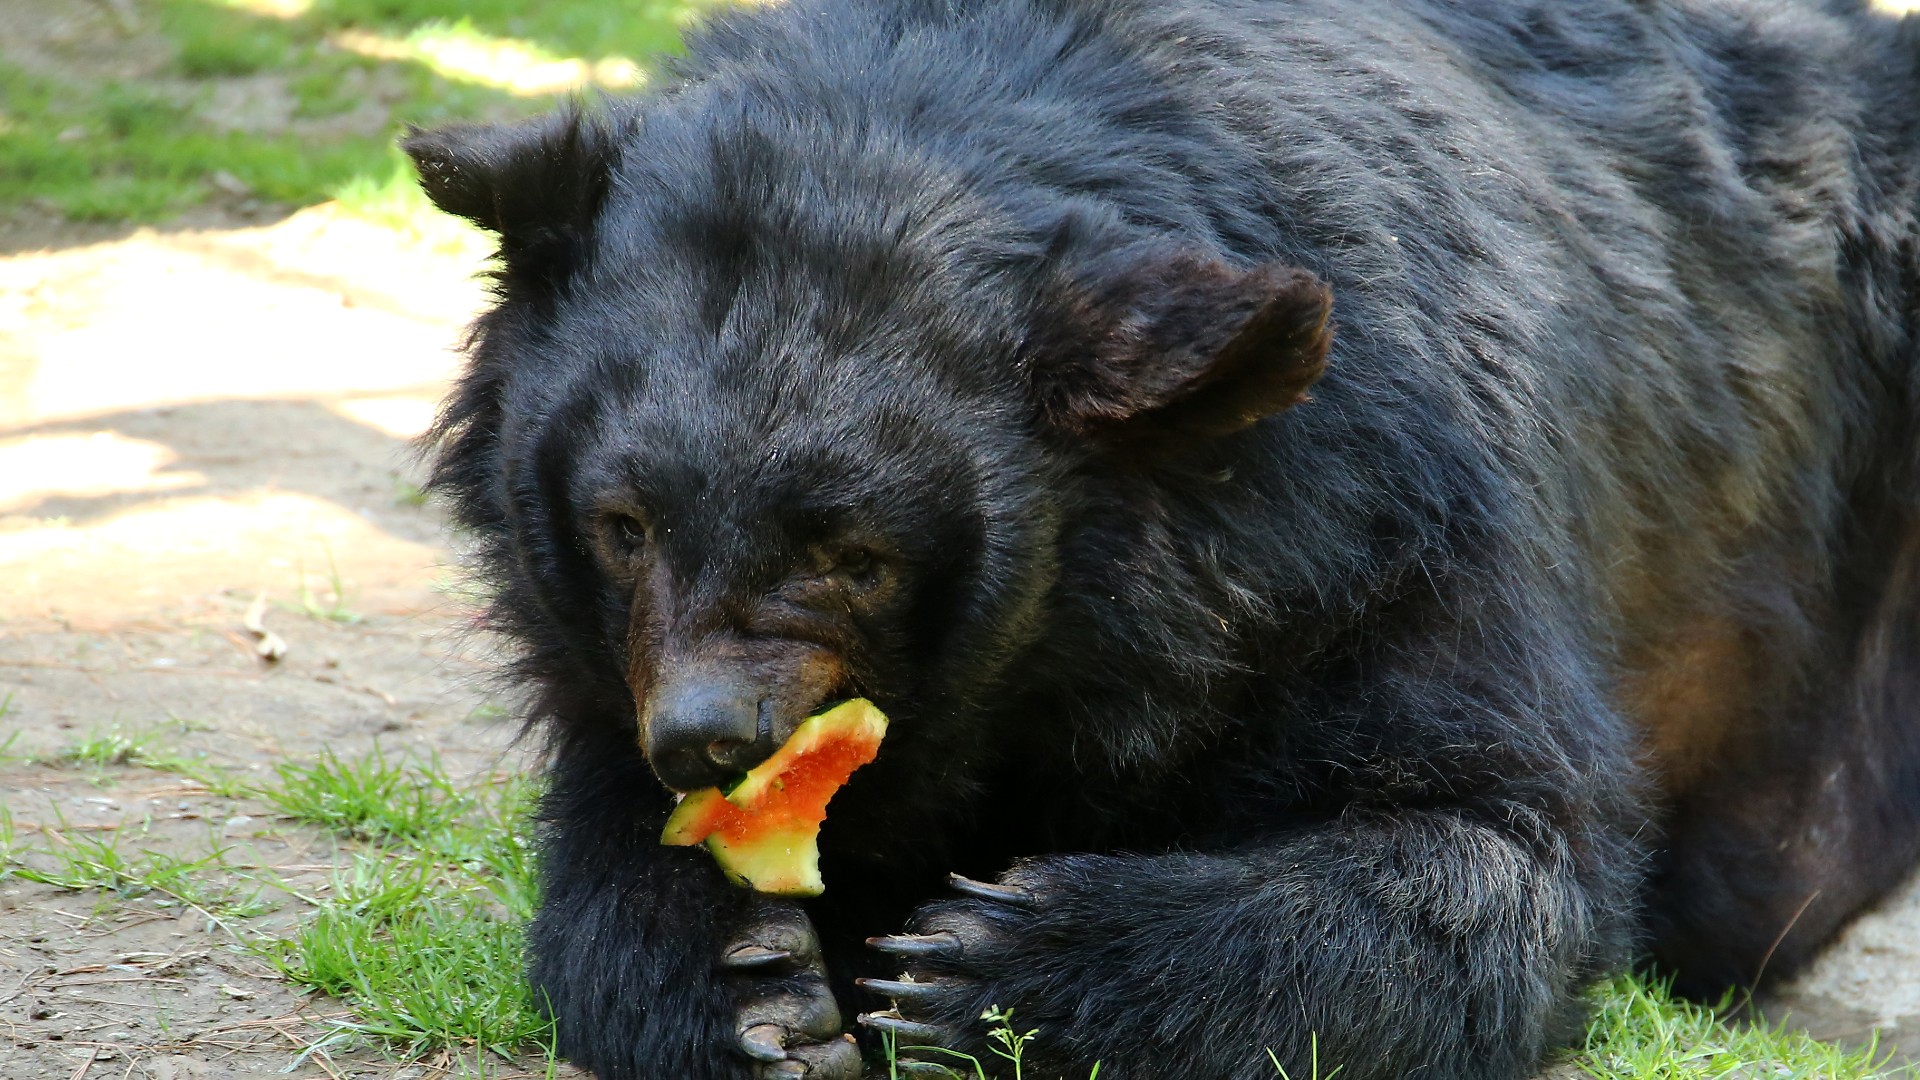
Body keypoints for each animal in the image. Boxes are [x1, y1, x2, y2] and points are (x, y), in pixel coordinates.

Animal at [400, 0, 1920, 1078]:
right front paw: (758, 985)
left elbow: (1499, 843)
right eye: (623, 526)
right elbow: (608, 849)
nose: (711, 744)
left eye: (858, 556)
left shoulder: (1389, 511)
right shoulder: (599, 657)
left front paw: (976, 968)